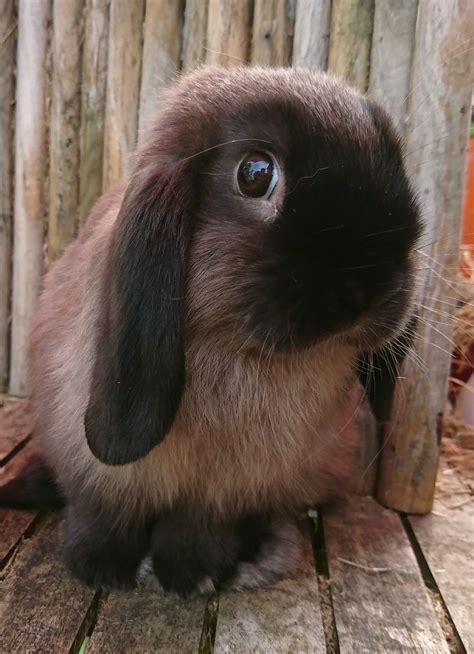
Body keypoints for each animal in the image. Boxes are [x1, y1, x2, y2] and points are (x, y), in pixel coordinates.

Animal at [8, 66, 422, 596]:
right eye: (255, 174)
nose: (369, 287)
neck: (237, 357)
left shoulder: (223, 491)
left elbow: (198, 528)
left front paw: (192, 576)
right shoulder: (92, 470)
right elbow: (104, 515)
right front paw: (100, 569)